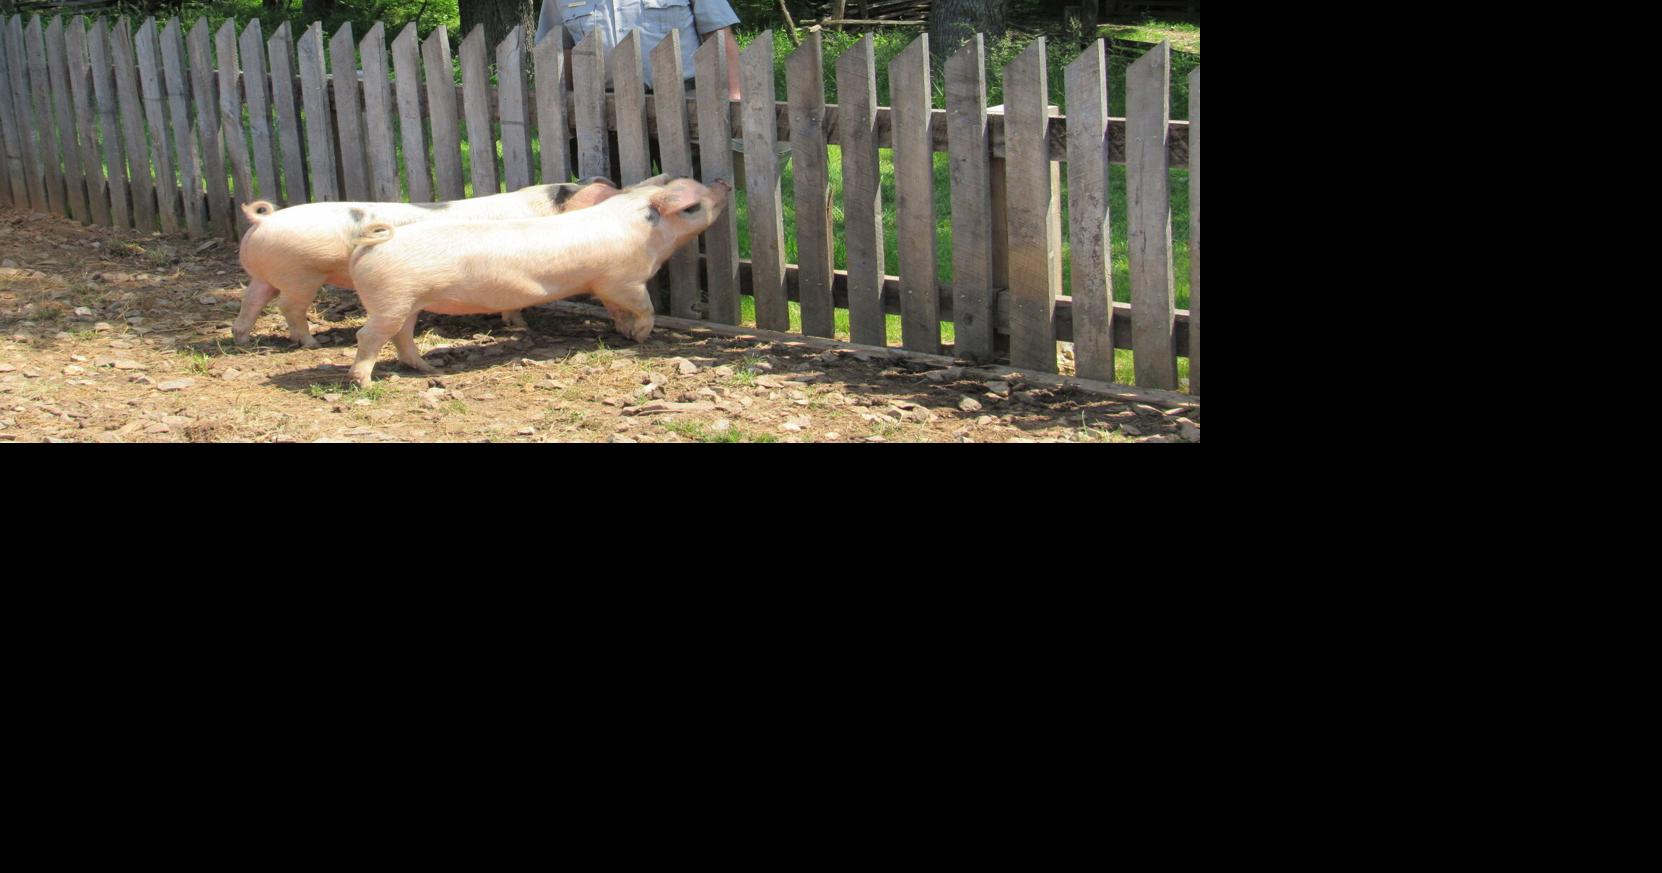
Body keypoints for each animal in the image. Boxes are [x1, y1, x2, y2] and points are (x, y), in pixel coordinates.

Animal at [232, 177, 624, 348]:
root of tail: (264, 221)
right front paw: (521, 326)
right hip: (301, 274)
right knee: (288, 307)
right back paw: (311, 344)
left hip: (265, 276)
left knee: (251, 302)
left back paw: (242, 341)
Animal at [343, 177, 731, 387]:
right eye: (692, 207)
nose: (724, 182)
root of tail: (371, 244)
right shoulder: (623, 279)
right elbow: (644, 308)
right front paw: (639, 337)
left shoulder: (606, 288)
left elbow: (617, 312)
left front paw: (623, 332)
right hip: (390, 300)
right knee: (368, 336)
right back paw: (362, 383)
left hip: (406, 302)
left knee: (402, 336)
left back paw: (428, 368)